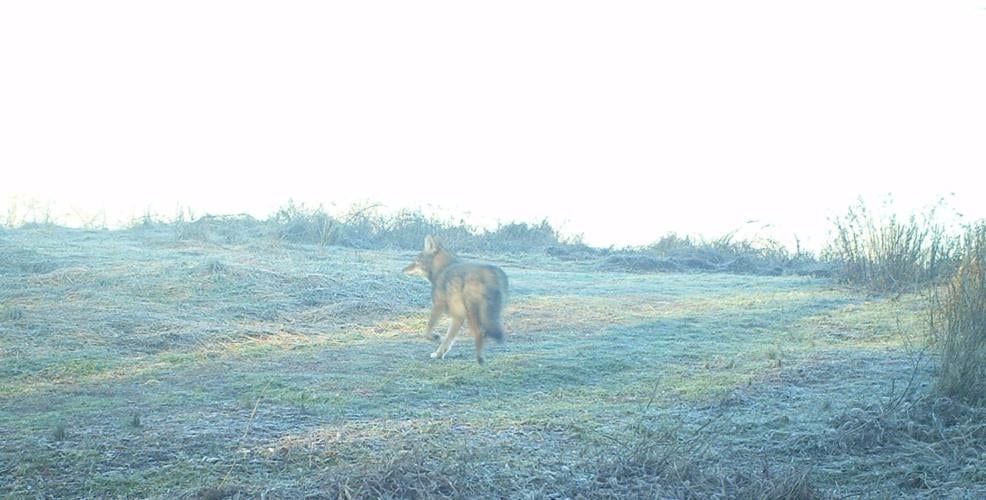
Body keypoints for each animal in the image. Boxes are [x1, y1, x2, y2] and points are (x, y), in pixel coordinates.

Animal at [403, 235, 508, 364]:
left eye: (416, 261)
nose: (403, 270)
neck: (442, 269)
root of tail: (490, 273)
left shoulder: (438, 306)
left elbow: (428, 331)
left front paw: (437, 338)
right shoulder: (458, 315)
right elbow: (448, 339)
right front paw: (439, 354)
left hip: (472, 315)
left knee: (480, 333)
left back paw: (480, 359)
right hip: (487, 315)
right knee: (488, 332)